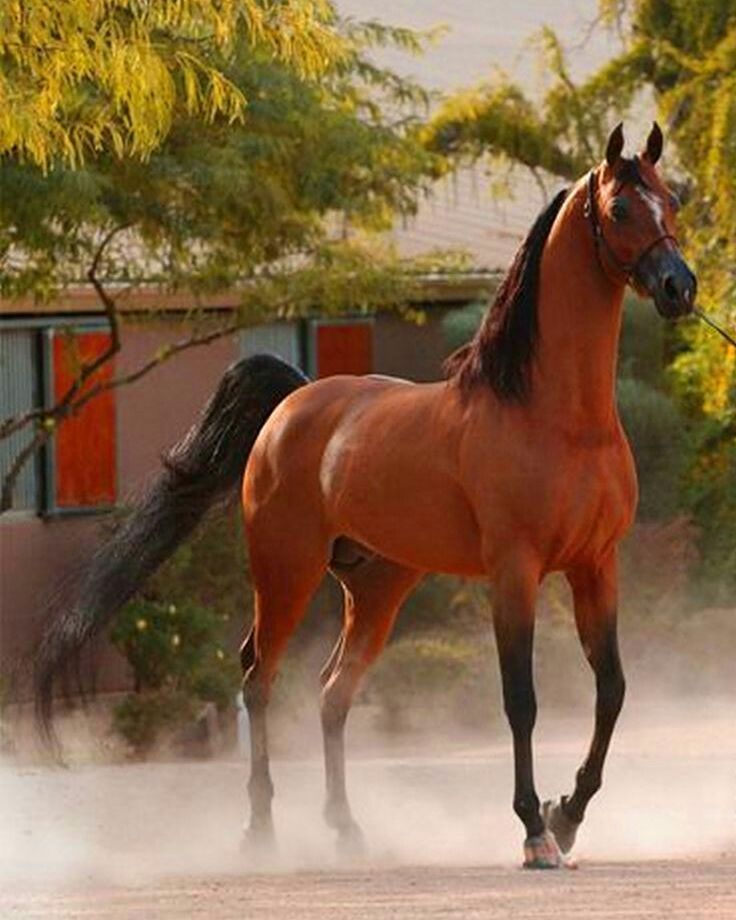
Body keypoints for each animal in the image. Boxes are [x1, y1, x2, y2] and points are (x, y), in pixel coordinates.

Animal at [36, 122, 696, 869]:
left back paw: (347, 829)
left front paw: (568, 815)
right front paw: (534, 831)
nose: (679, 286)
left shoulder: (596, 565)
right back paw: (260, 832)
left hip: (378, 587)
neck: (556, 416)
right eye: (620, 208)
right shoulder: (515, 571)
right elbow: (520, 698)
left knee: (332, 693)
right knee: (258, 678)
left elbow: (611, 690)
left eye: (671, 201)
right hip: (286, 573)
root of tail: (291, 402)